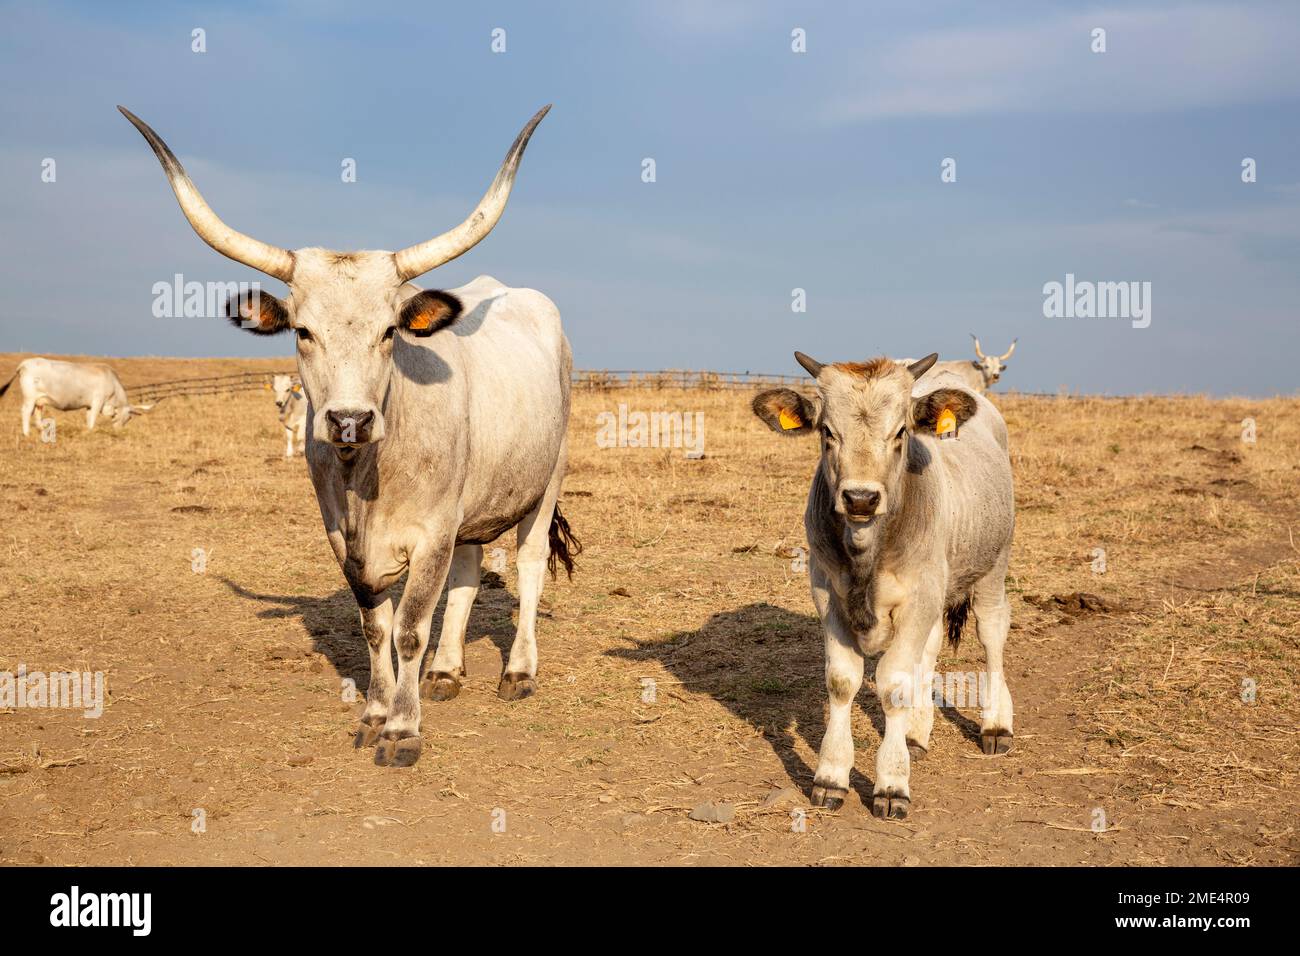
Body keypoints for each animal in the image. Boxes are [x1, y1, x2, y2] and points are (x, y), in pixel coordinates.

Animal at [0, 358, 153, 436]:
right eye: (129, 418)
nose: (119, 431)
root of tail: (25, 363)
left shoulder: (89, 405)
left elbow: (89, 417)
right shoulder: (97, 401)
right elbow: (93, 418)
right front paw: (90, 431)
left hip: (39, 400)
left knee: (37, 413)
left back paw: (42, 429)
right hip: (30, 399)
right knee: (26, 412)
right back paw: (26, 433)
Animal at [121, 103, 580, 767]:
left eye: (390, 331)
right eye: (302, 331)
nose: (349, 420)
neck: (366, 477)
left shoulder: (431, 531)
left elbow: (410, 627)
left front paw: (402, 731)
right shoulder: (346, 537)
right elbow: (375, 627)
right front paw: (375, 712)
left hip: (547, 481)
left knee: (528, 564)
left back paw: (518, 671)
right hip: (472, 502)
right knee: (469, 574)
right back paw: (446, 671)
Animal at [751, 352, 1015, 818]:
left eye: (901, 432)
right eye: (827, 431)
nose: (860, 498)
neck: (867, 554)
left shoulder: (919, 595)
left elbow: (894, 684)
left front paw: (892, 783)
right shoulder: (827, 593)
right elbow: (842, 681)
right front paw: (831, 776)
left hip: (992, 566)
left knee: (992, 633)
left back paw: (996, 723)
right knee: (929, 650)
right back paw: (915, 733)